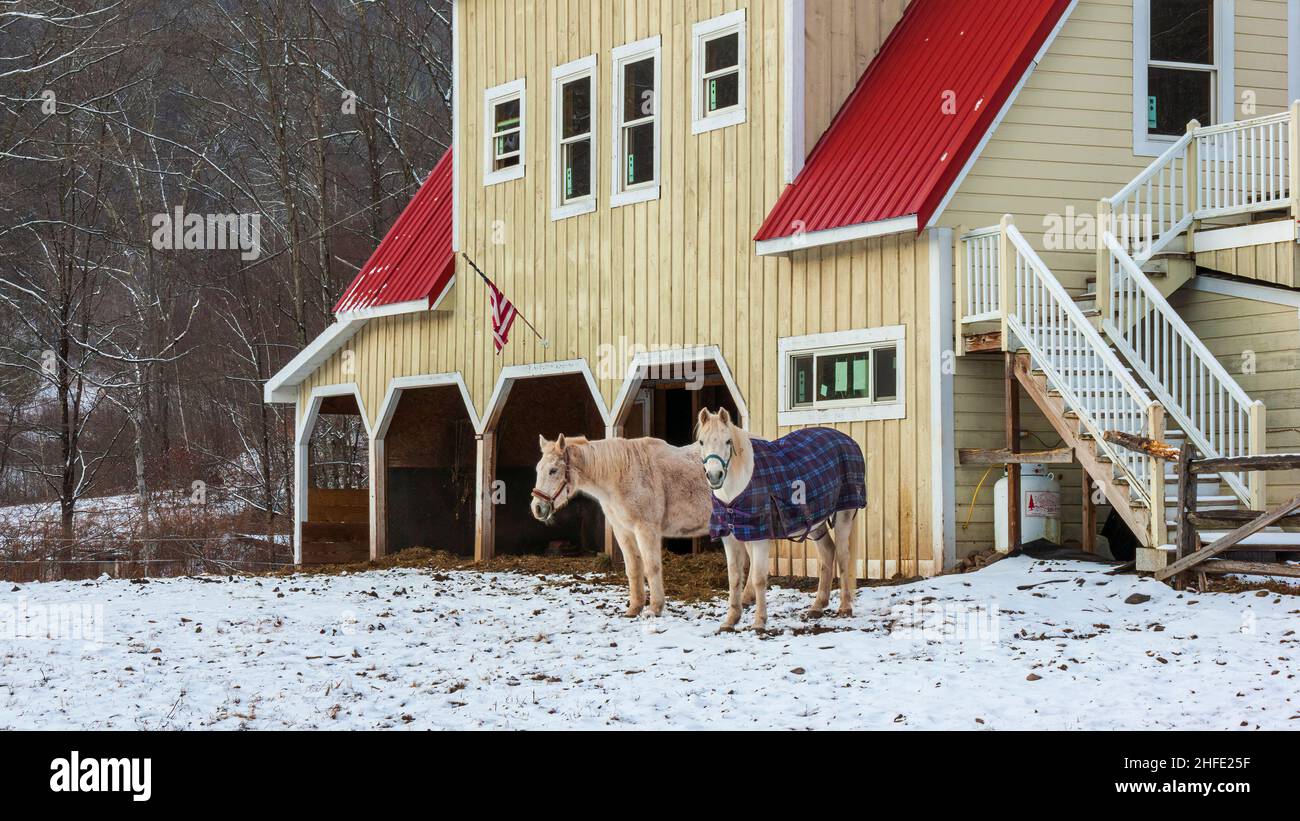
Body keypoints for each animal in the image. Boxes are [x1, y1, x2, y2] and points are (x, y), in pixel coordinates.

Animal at [531, 434, 724, 618]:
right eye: (538, 469)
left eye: (553, 470)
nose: (537, 508)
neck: (623, 474)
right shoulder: (623, 530)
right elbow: (633, 568)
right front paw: (634, 608)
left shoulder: (646, 529)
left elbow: (652, 567)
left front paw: (654, 609)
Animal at [695, 408, 865, 631]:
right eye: (701, 441)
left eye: (728, 441)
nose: (715, 475)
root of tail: (849, 441)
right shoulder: (729, 537)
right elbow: (734, 578)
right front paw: (730, 620)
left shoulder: (760, 537)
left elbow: (758, 578)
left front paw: (759, 622)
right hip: (815, 522)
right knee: (828, 552)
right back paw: (817, 607)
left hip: (844, 514)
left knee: (843, 557)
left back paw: (845, 607)